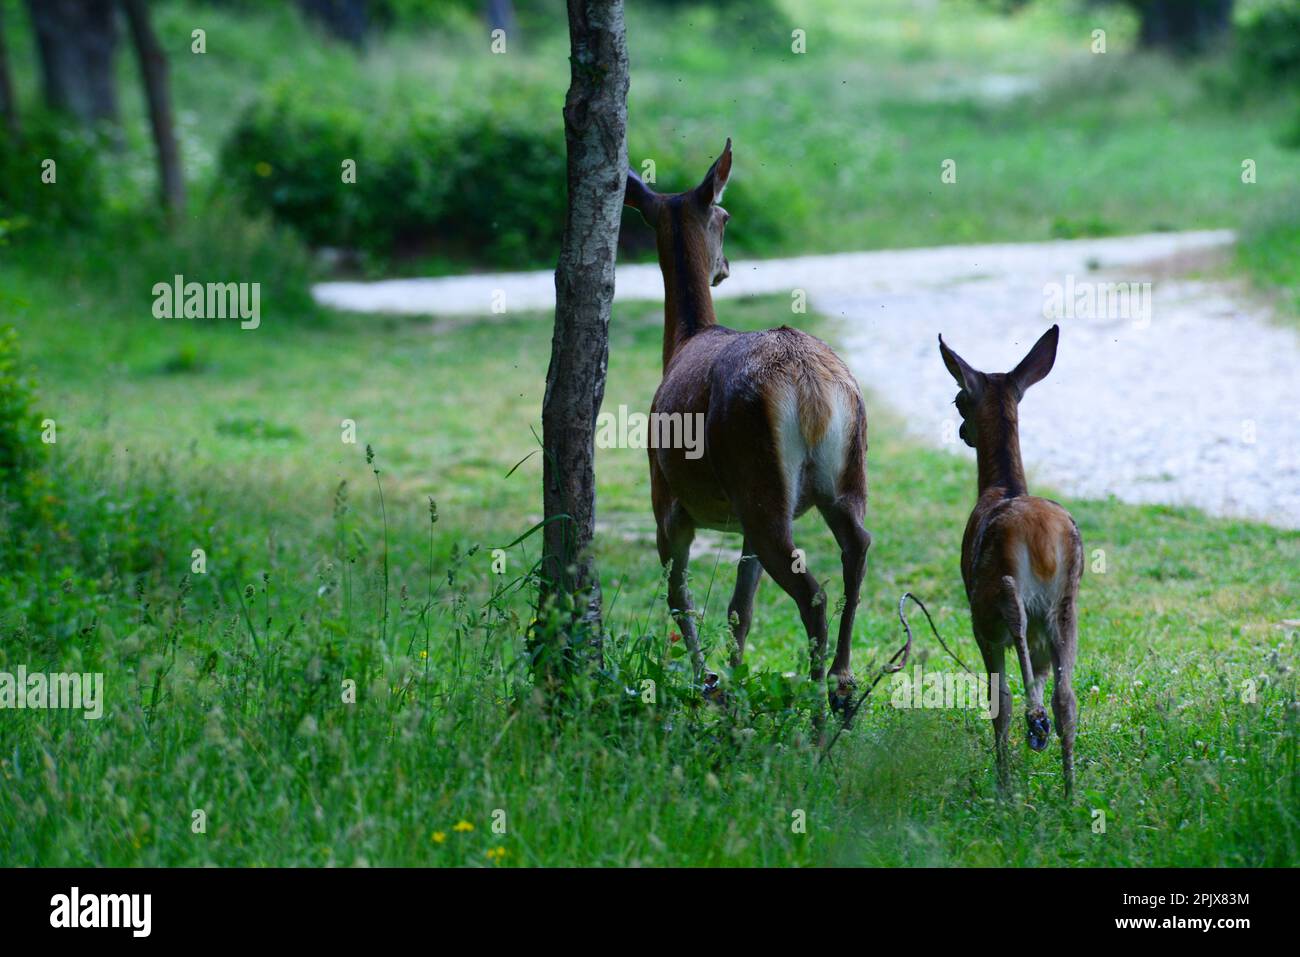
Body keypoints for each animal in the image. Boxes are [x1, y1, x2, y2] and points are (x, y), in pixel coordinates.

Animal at [623, 138, 871, 723]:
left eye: (725, 215)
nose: (725, 268)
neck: (682, 342)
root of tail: (809, 387)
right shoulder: (736, 523)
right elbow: (741, 607)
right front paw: (732, 679)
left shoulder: (665, 499)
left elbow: (680, 598)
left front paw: (707, 682)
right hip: (841, 475)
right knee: (857, 547)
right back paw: (842, 681)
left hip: (757, 480)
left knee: (812, 592)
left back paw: (818, 708)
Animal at [937, 325, 1082, 794]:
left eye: (959, 399)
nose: (963, 431)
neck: (1001, 486)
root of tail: (1041, 538)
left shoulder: (980, 626)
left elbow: (997, 699)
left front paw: (1003, 788)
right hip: (1067, 603)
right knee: (1066, 697)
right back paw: (1070, 791)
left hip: (994, 593)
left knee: (1012, 629)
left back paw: (1034, 725)